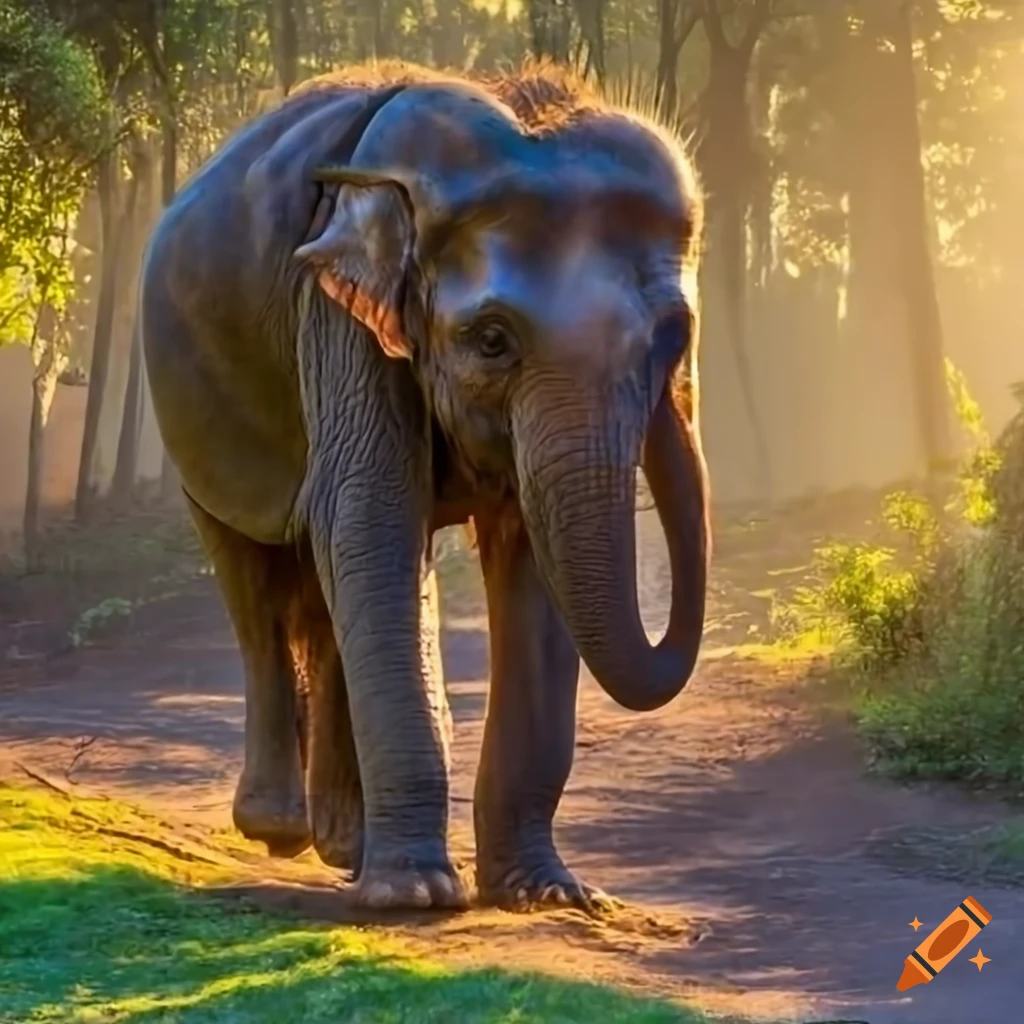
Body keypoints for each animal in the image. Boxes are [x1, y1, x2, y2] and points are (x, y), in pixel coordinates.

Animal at [140, 60, 710, 913]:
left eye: (672, 337)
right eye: (492, 339)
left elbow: (524, 553)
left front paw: (548, 895)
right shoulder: (336, 312)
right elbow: (369, 516)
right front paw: (414, 895)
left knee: (327, 589)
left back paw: (343, 846)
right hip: (192, 411)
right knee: (255, 572)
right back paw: (282, 830)